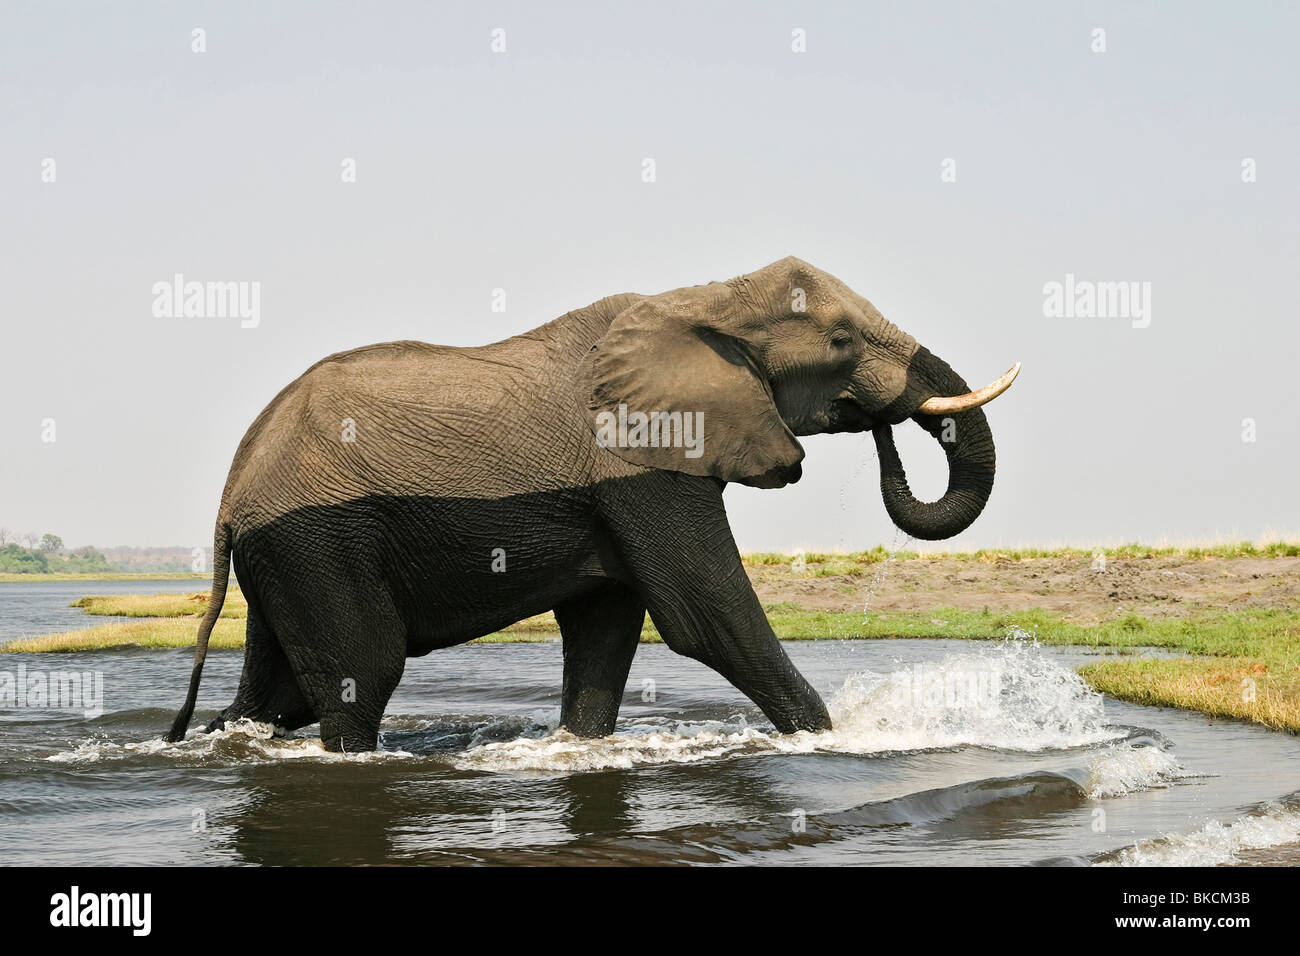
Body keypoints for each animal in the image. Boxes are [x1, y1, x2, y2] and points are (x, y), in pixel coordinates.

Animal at [166, 257, 1018, 752]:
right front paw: (830, 741)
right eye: (841, 343)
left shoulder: (620, 491)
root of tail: (233, 491)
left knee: (275, 696)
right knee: (360, 677)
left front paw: (576, 750)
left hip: (289, 551)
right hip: (322, 538)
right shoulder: (642, 467)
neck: (705, 299)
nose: (875, 425)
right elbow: (707, 617)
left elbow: (607, 626)